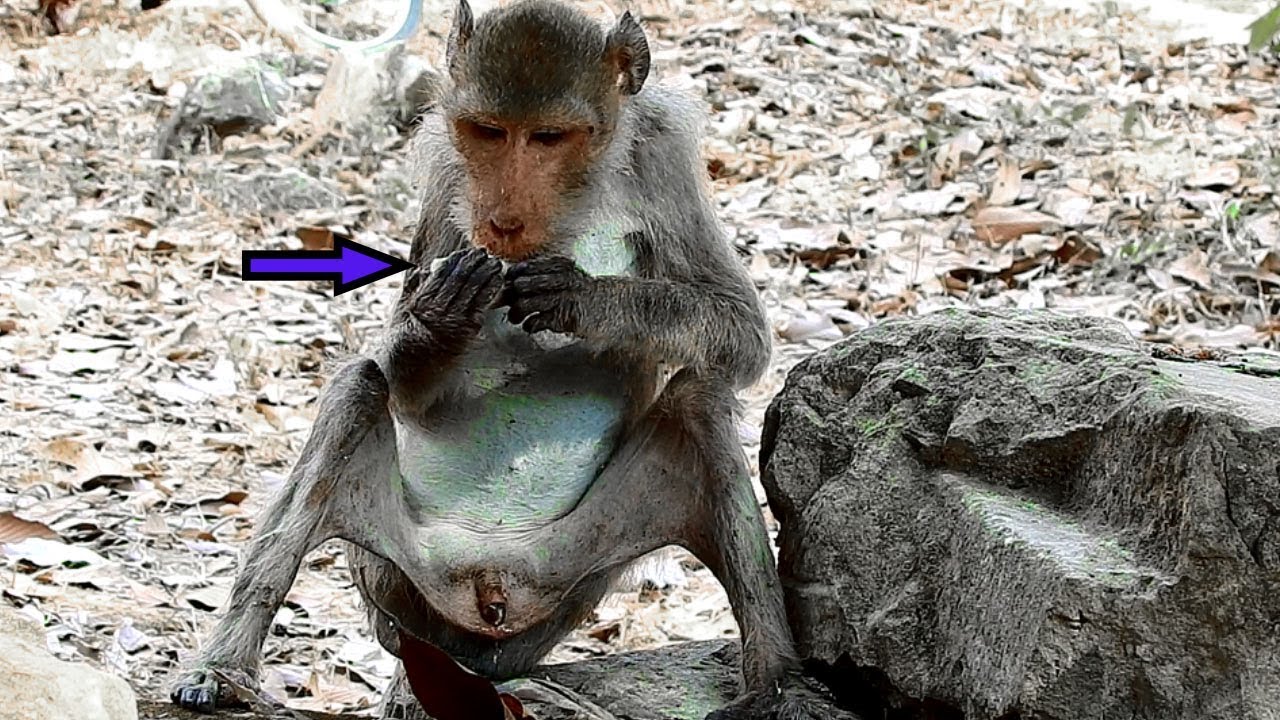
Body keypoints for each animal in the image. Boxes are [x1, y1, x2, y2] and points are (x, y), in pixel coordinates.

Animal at [169, 2, 851, 718]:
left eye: (548, 138)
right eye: (489, 133)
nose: (501, 217)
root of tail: (485, 593)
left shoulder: (663, 154)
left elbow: (741, 330)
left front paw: (581, 297)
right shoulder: (447, 171)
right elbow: (407, 383)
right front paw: (439, 314)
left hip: (573, 573)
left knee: (701, 396)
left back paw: (777, 678)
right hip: (395, 581)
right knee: (358, 388)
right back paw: (226, 663)